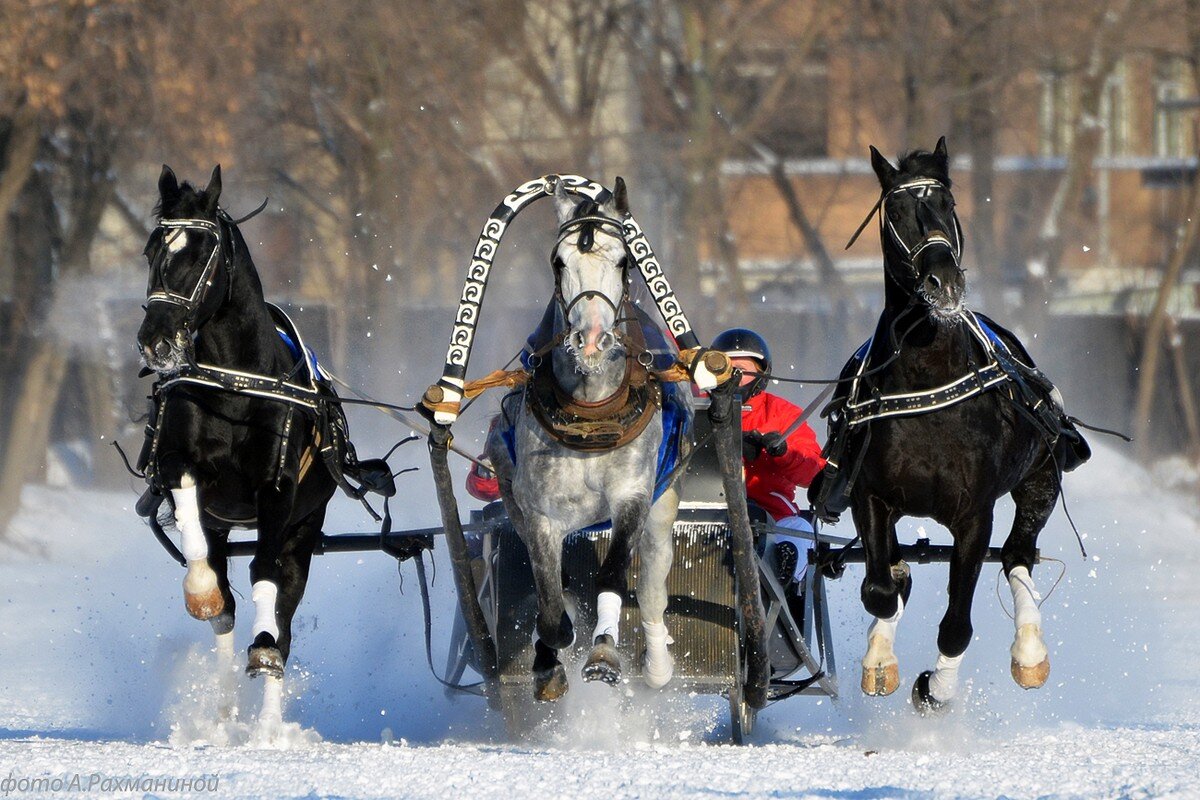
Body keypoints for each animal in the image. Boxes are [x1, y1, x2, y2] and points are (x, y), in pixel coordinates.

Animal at [137, 165, 386, 734]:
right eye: (151, 250)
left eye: (201, 252)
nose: (155, 340)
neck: (235, 384)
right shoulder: (183, 468)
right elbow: (202, 554)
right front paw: (201, 590)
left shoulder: (278, 491)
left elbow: (268, 580)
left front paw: (266, 652)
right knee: (226, 606)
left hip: (305, 526)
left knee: (283, 609)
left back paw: (269, 720)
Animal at [480, 179, 686, 700]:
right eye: (559, 261)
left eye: (624, 261)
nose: (591, 340)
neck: (592, 416)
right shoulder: (537, 511)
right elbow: (551, 600)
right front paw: (551, 655)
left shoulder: (633, 494)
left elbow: (613, 574)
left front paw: (604, 654)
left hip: (663, 506)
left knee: (652, 589)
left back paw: (657, 663)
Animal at [816, 137, 1089, 714]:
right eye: (895, 212)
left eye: (949, 204)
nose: (943, 282)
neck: (931, 380)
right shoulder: (869, 495)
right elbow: (882, 586)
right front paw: (881, 653)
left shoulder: (974, 515)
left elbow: (956, 625)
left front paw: (934, 687)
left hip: (1040, 479)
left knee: (1018, 556)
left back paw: (1029, 651)